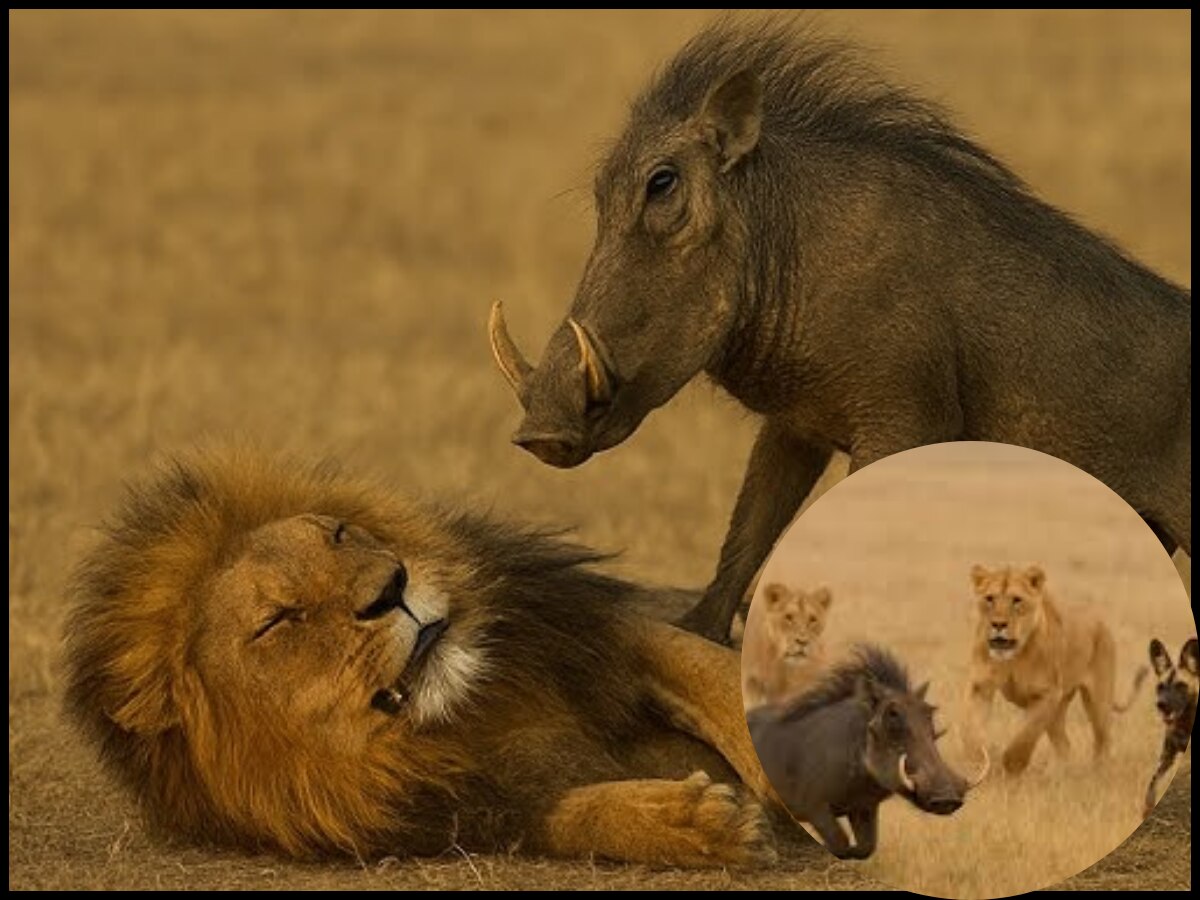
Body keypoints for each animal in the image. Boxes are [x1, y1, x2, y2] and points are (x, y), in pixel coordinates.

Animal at [63, 446, 781, 866]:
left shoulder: (606, 630)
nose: (392, 587)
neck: (467, 710)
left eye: (339, 534)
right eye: (278, 620)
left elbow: (712, 673)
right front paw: (695, 821)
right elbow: (579, 816)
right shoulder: (476, 809)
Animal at [961, 564, 1145, 775]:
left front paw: (1012, 767)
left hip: (1098, 701)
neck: (1014, 656)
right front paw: (977, 763)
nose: (998, 624)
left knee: (1103, 740)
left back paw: (1098, 772)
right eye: (989, 598)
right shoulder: (980, 687)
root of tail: (1101, 622)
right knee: (1065, 745)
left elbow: (1026, 736)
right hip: (1059, 709)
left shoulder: (1047, 694)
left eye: (1017, 600)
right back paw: (1058, 774)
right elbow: (971, 729)